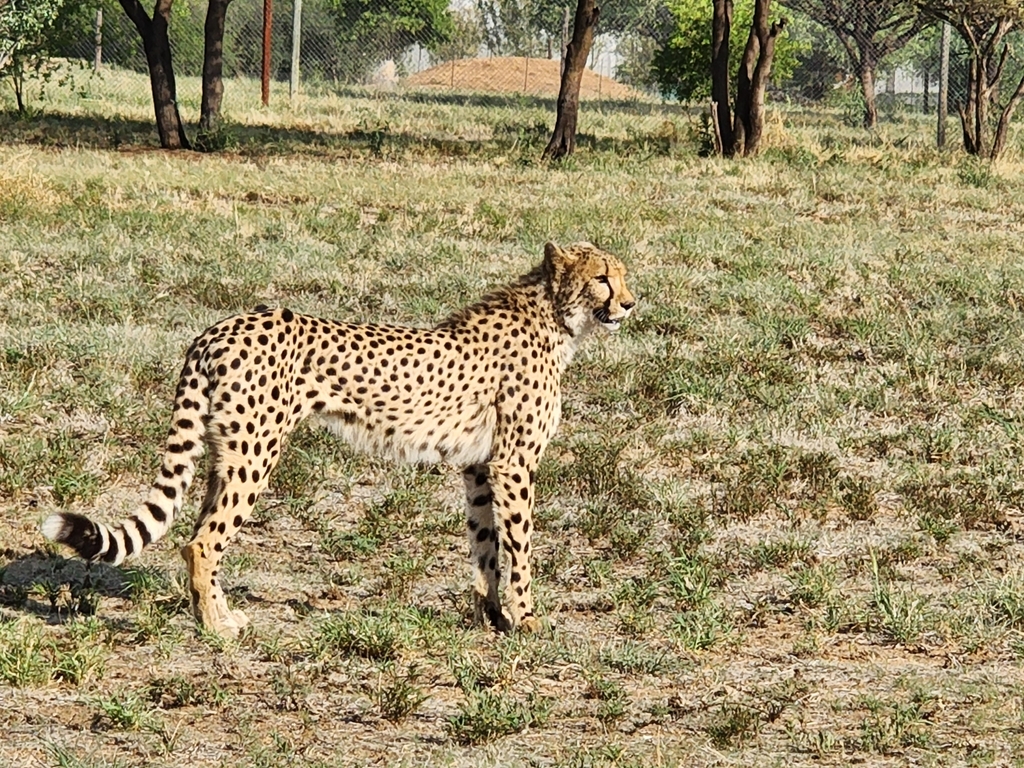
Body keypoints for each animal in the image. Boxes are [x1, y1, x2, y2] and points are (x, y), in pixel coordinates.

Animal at [42, 241, 636, 638]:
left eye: (622, 277)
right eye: (603, 278)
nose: (631, 304)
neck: (555, 317)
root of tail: (218, 327)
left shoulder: (479, 467)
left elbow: (486, 547)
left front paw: (491, 616)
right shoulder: (513, 465)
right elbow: (520, 547)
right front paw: (528, 621)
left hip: (225, 452)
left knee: (198, 532)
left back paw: (218, 613)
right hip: (256, 453)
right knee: (201, 541)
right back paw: (217, 628)